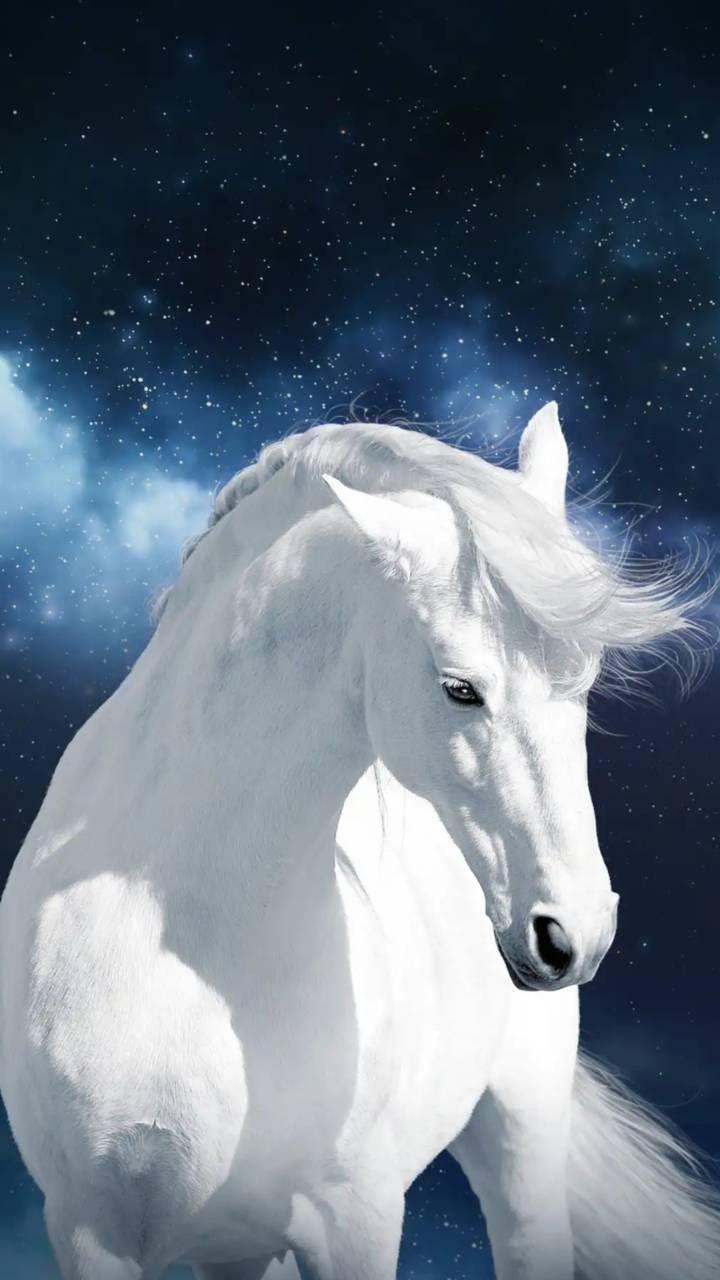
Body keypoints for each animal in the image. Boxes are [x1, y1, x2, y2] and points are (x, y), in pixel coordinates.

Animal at [1, 403, 718, 1280]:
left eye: (584, 682)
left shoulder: (356, 1218)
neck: (193, 938)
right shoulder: (91, 1228)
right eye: (459, 687)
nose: (574, 934)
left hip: (521, 1132)